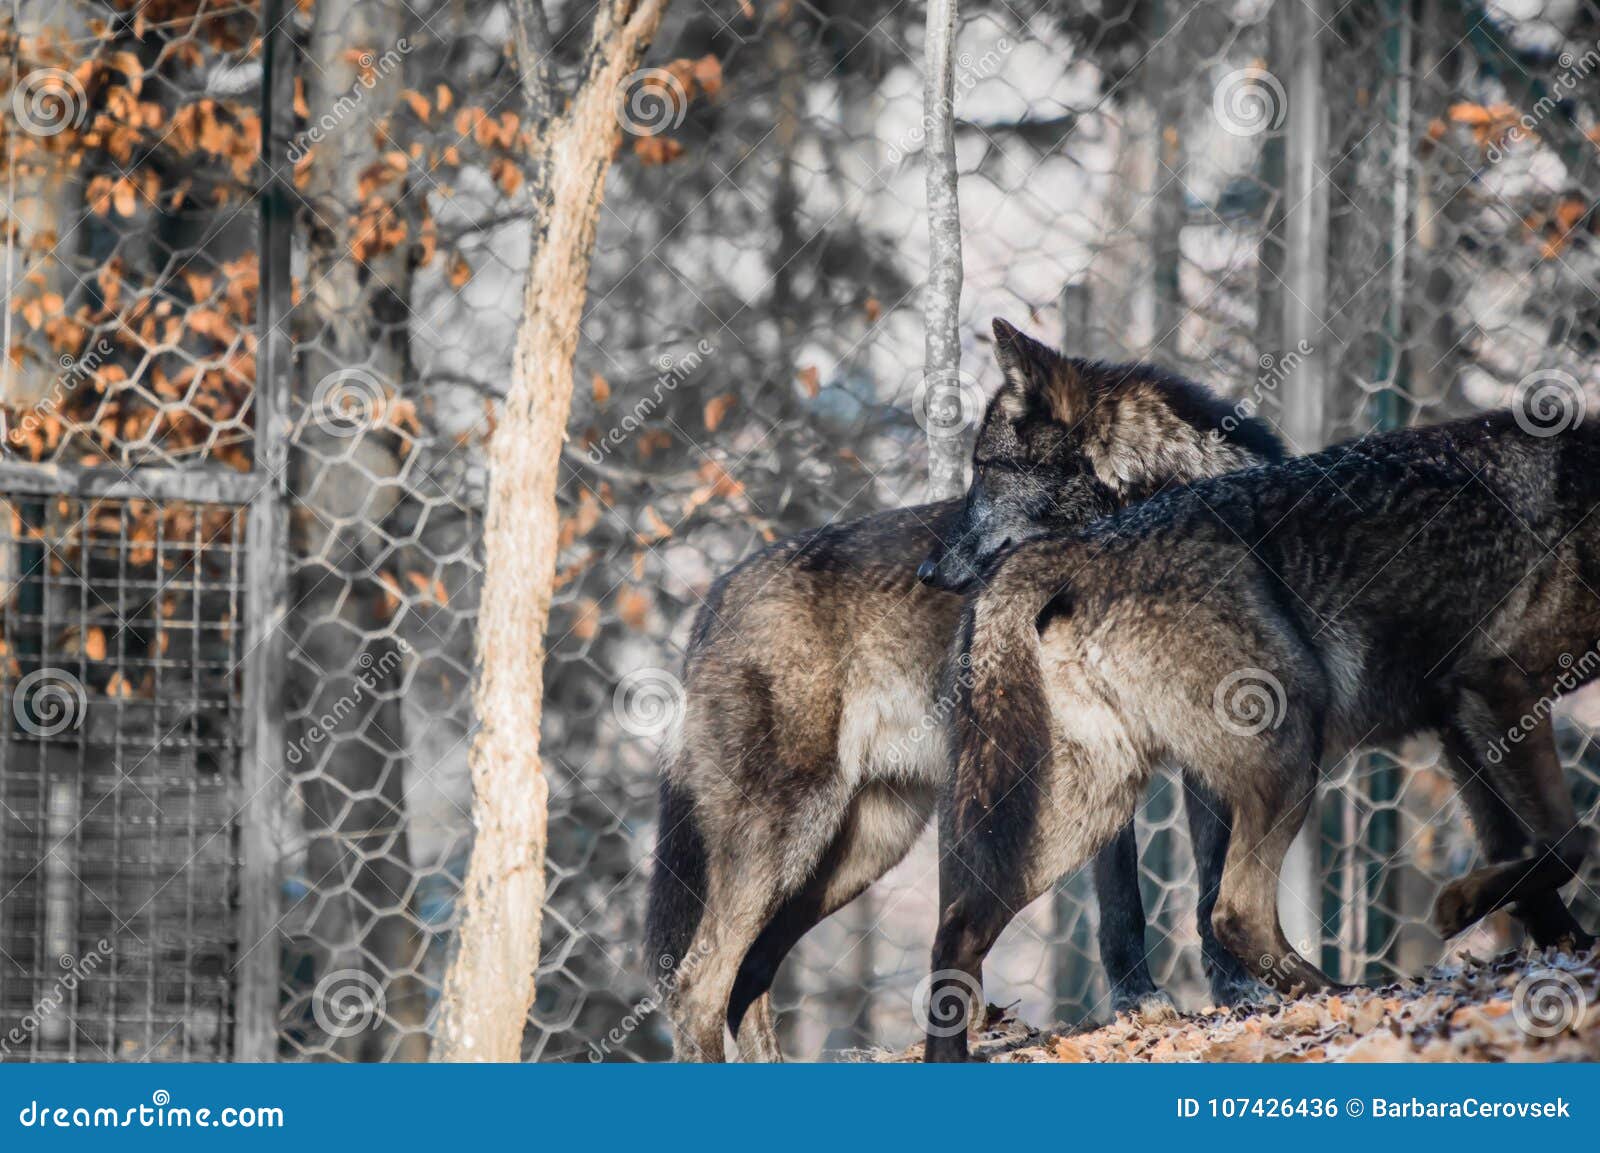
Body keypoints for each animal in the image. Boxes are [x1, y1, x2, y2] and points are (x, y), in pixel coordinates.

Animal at [646, 320, 1283, 1061]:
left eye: (989, 471)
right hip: (788, 836)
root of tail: (717, 594)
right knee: (696, 983)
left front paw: (1236, 992)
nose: (928, 572)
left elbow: (1213, 881)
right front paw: (1137, 1000)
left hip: (858, 850)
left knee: (747, 974)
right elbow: (1122, 895)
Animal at [922, 407, 1600, 1061]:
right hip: (1290, 747)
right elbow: (1568, 841)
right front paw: (1479, 912)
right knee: (1234, 913)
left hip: (1094, 807)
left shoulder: (1459, 725)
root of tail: (1083, 542)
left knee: (959, 926)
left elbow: (1523, 851)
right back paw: (1343, 997)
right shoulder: (1503, 689)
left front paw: (1565, 947)